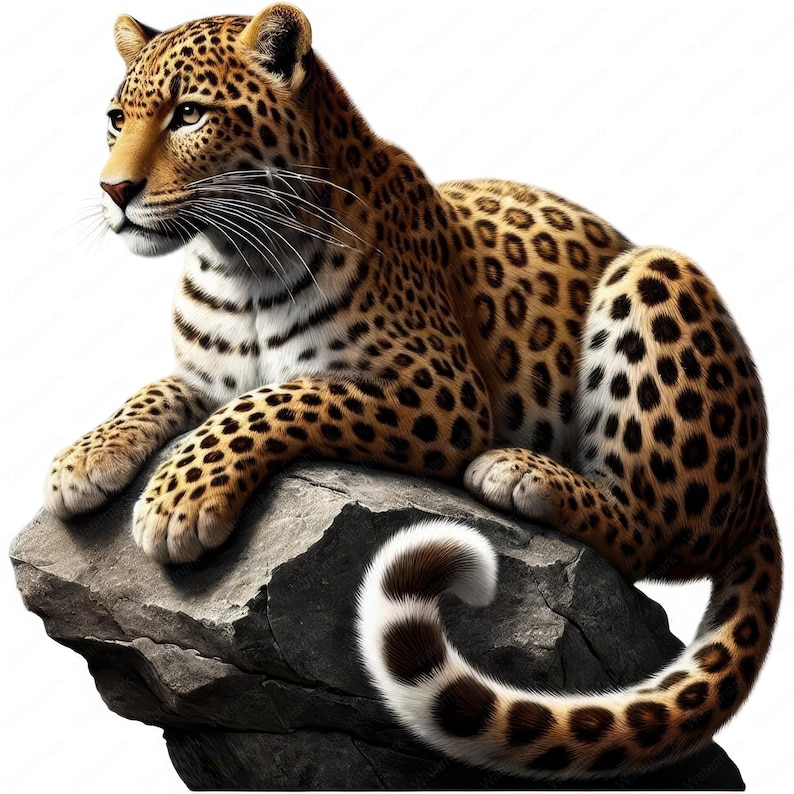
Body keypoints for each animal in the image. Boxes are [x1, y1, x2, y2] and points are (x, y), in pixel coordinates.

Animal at [43, 3, 781, 781]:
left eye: (189, 114)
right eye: (116, 119)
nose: (113, 191)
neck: (236, 264)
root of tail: (760, 488)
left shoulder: (440, 389)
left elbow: (278, 399)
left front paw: (178, 503)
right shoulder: (200, 378)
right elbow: (153, 391)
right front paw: (83, 460)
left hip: (657, 275)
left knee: (646, 532)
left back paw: (521, 472)